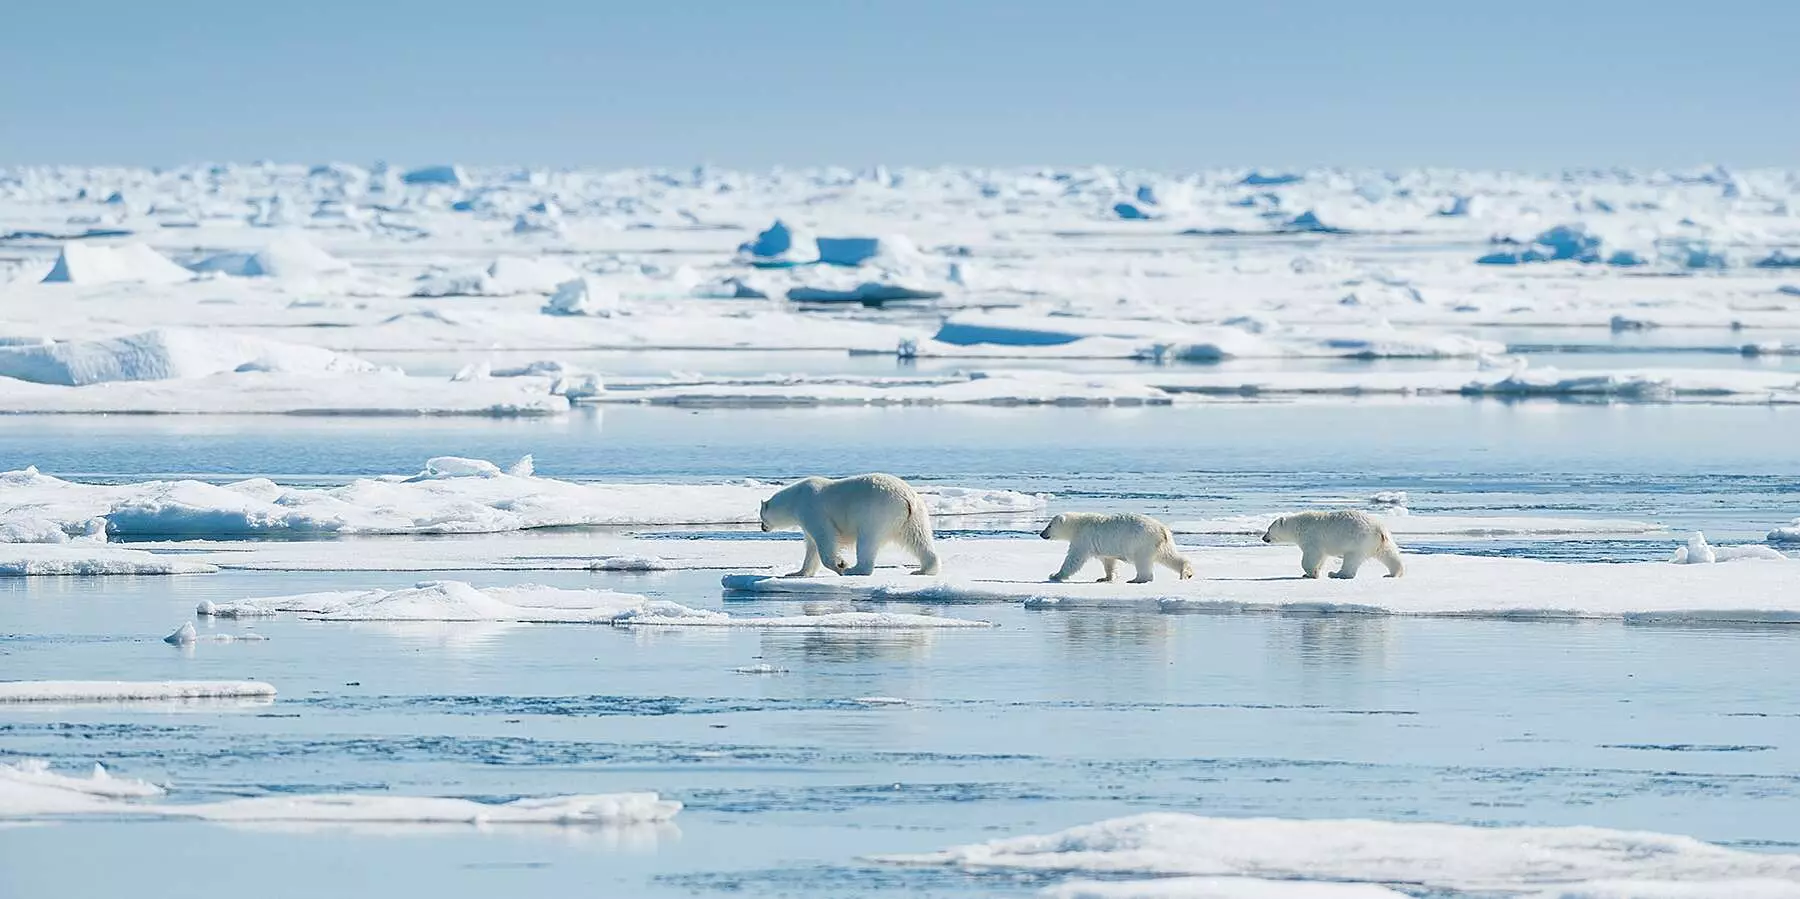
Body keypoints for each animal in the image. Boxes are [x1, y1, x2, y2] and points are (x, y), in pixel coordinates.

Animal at [756, 472, 943, 576]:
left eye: (761, 516)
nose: (762, 528)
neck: (795, 498)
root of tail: (907, 499)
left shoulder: (812, 509)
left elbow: (825, 537)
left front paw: (841, 565)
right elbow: (811, 546)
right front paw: (796, 573)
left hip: (876, 512)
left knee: (867, 540)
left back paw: (855, 569)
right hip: (915, 516)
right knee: (919, 539)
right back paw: (923, 569)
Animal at [1044, 515, 1195, 583]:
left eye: (1049, 525)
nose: (1041, 534)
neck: (1077, 525)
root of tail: (1163, 529)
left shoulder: (1083, 538)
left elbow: (1074, 559)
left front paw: (1055, 575)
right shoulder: (1103, 547)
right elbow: (1108, 561)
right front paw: (1105, 578)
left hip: (1142, 542)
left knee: (1142, 561)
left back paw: (1137, 579)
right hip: (1161, 544)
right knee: (1169, 556)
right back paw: (1186, 573)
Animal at [1267, 511, 1404, 580]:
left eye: (1268, 529)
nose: (1264, 538)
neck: (1299, 525)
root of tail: (1379, 529)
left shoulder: (1312, 537)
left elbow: (1311, 555)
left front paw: (1312, 574)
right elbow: (1322, 557)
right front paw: (1312, 572)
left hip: (1359, 541)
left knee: (1351, 559)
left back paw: (1336, 574)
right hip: (1382, 542)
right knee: (1389, 554)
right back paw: (1393, 573)